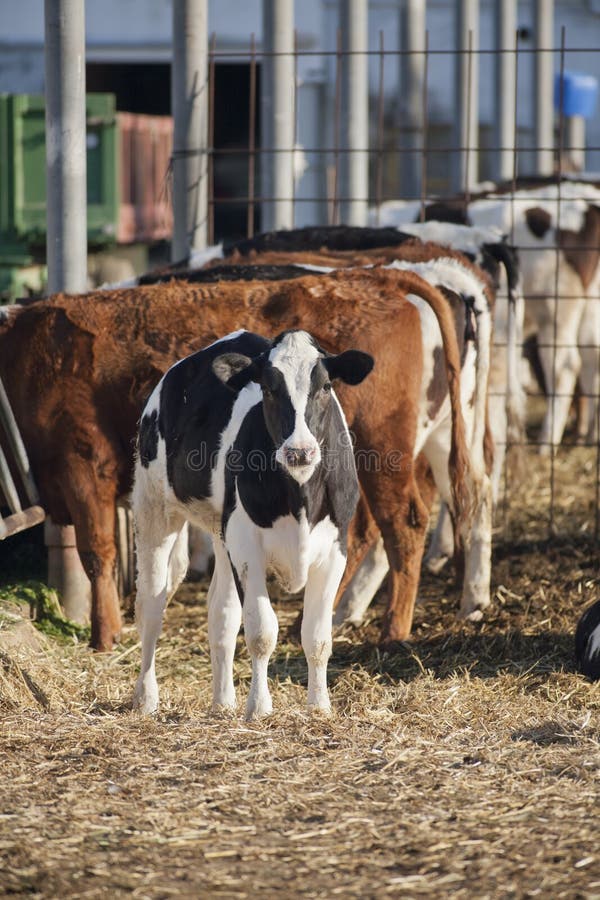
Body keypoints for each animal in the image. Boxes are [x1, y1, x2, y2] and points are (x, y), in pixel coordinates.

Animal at [132, 329, 373, 717]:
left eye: (325, 386)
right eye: (269, 388)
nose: (299, 451)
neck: (300, 495)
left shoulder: (336, 548)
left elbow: (317, 636)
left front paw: (319, 706)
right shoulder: (247, 547)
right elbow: (261, 631)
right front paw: (259, 707)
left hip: (221, 530)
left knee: (221, 613)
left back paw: (222, 702)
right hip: (154, 507)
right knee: (151, 607)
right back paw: (145, 697)